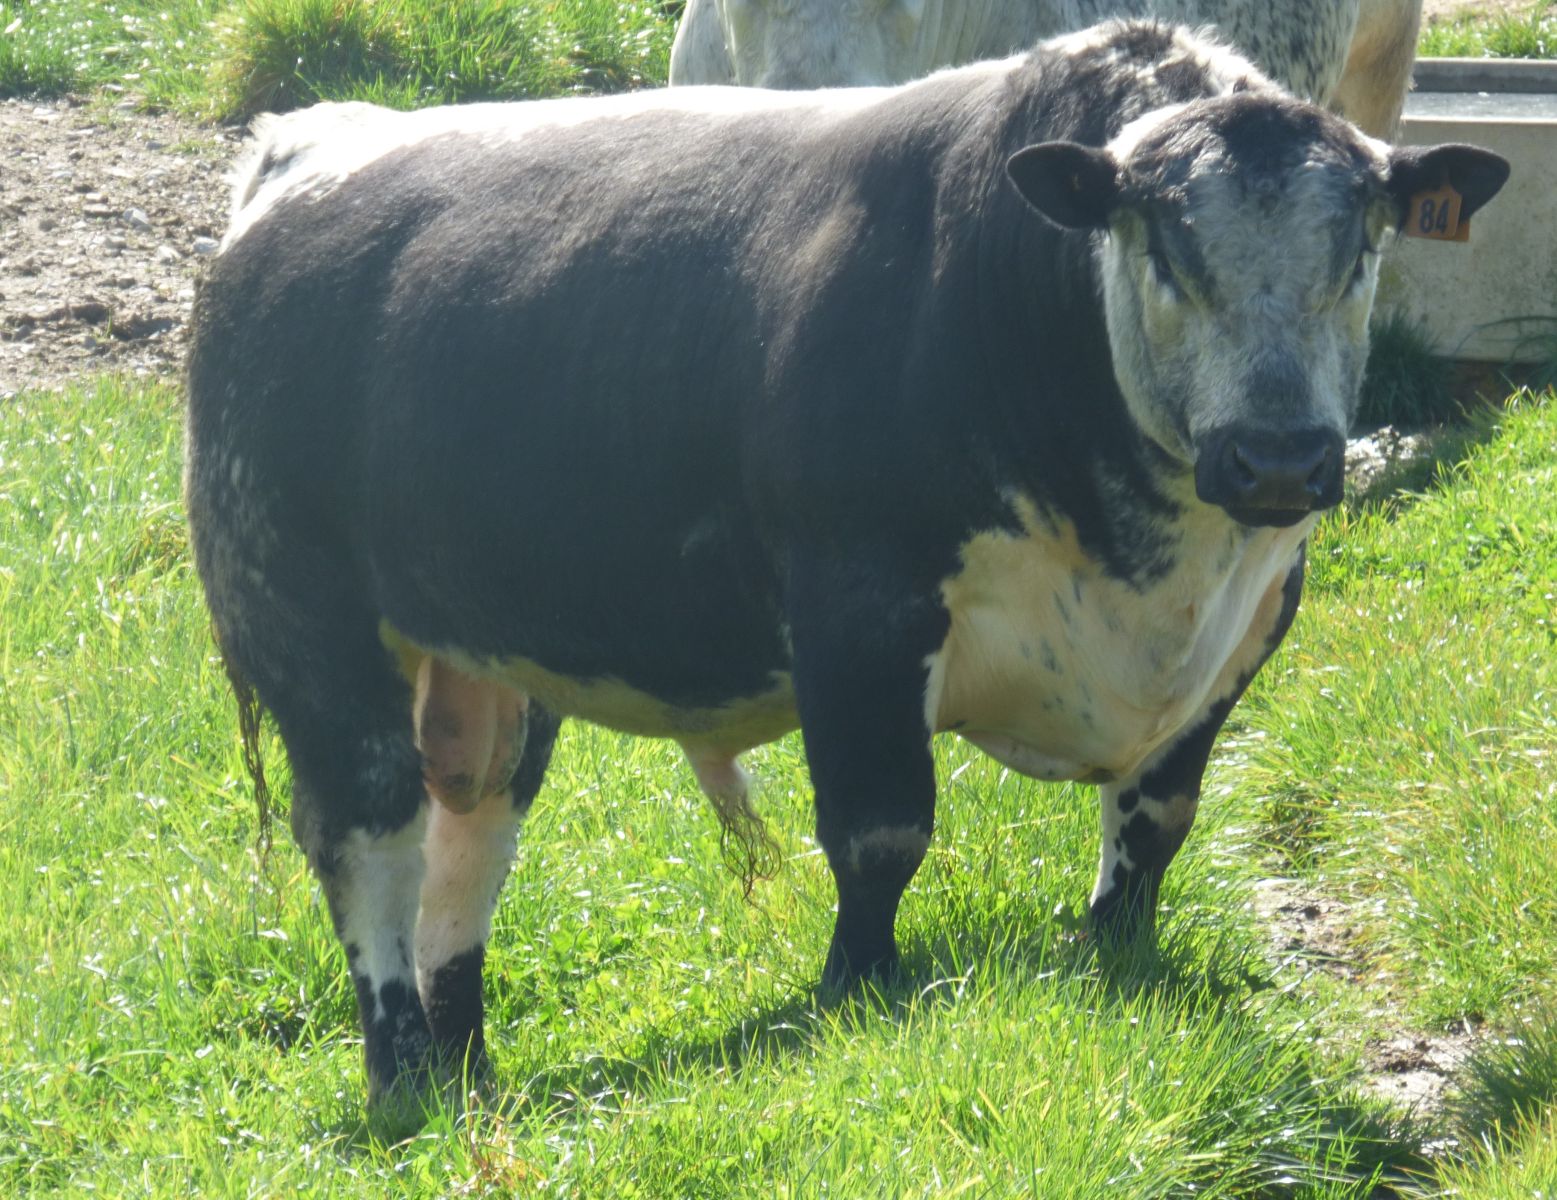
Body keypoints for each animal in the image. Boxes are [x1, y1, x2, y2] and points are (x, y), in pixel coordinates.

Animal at [186, 20, 1507, 1105]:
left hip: (490, 649)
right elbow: (881, 831)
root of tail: (311, 149)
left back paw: (468, 1064)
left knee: (472, 840)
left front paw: (1112, 962)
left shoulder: (1249, 625)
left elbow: (1156, 825)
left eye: (1362, 248)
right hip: (303, 620)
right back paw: (404, 1072)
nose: (1278, 457)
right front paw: (856, 994)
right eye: (1167, 250)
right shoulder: (857, 611)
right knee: (369, 837)